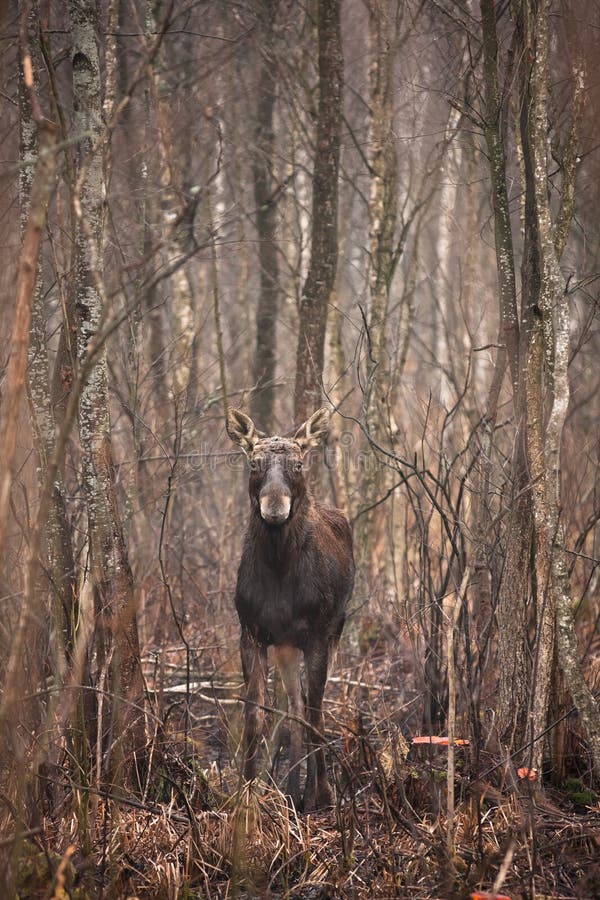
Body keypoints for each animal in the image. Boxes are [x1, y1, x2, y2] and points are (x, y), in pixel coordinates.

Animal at [226, 406, 354, 811]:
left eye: (298, 463)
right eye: (254, 462)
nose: (275, 508)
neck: (279, 569)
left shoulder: (317, 633)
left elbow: (315, 711)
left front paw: (323, 794)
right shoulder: (250, 631)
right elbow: (255, 712)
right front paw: (247, 790)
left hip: (335, 627)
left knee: (307, 704)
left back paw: (306, 789)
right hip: (283, 644)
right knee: (291, 704)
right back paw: (288, 785)